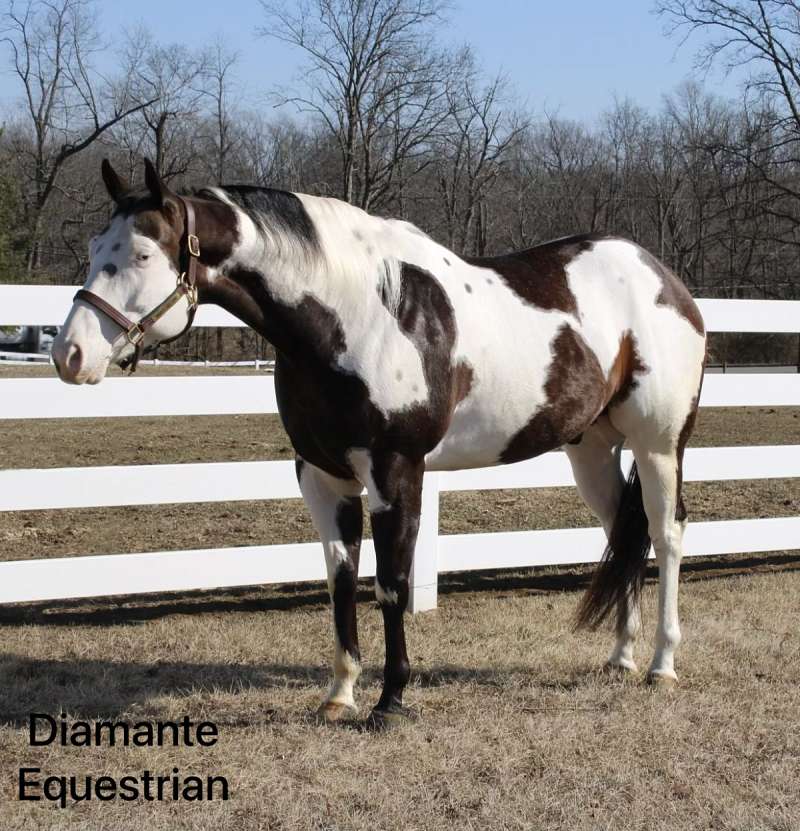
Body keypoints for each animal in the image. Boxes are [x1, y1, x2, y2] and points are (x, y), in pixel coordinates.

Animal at [52, 158, 706, 728]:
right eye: (95, 248)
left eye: (142, 254)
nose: (70, 355)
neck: (358, 316)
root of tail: (666, 282)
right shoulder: (323, 477)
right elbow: (341, 580)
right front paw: (340, 696)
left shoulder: (396, 473)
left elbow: (391, 584)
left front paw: (391, 701)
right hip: (591, 449)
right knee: (621, 534)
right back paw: (620, 657)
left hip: (658, 444)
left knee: (666, 534)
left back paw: (662, 665)